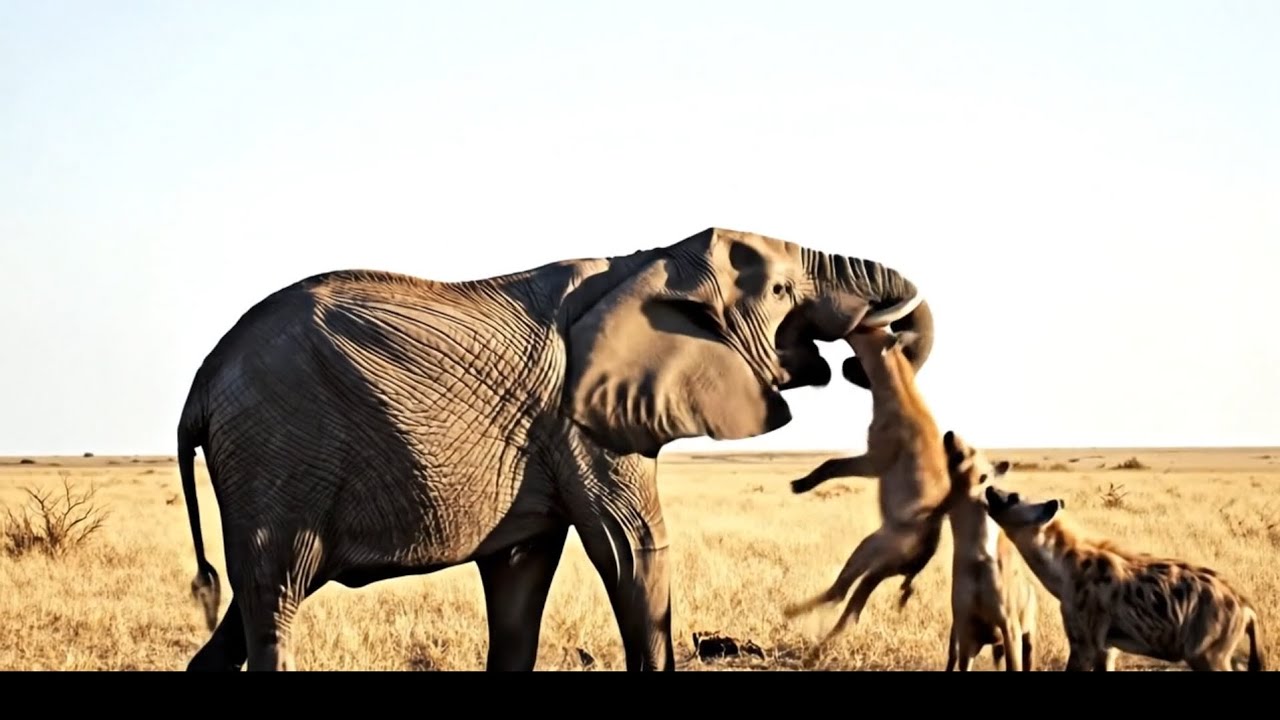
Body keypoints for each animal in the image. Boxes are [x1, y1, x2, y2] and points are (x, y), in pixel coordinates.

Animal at [175, 226, 935, 671]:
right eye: (780, 290)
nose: (863, 354)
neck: (650, 260)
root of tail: (200, 385)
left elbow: (520, 580)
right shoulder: (583, 418)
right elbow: (633, 548)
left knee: (251, 606)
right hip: (277, 452)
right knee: (274, 595)